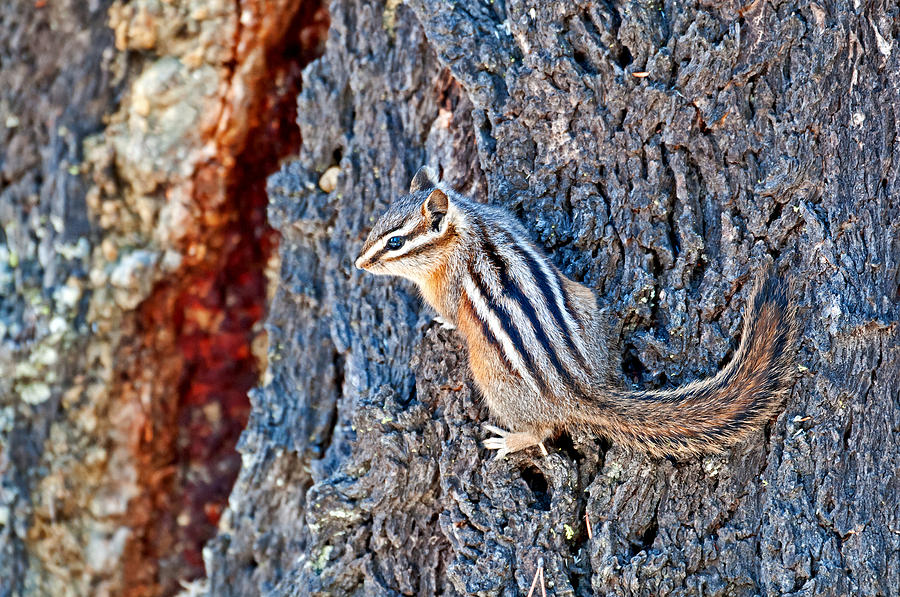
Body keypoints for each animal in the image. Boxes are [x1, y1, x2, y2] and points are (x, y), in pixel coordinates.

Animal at [355, 166, 798, 459]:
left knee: (545, 429)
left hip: (492, 380)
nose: (359, 263)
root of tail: (579, 387)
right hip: (584, 302)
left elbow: (449, 313)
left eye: (395, 242)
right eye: (377, 225)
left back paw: (510, 440)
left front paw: (442, 322)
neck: (465, 228)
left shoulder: (446, 289)